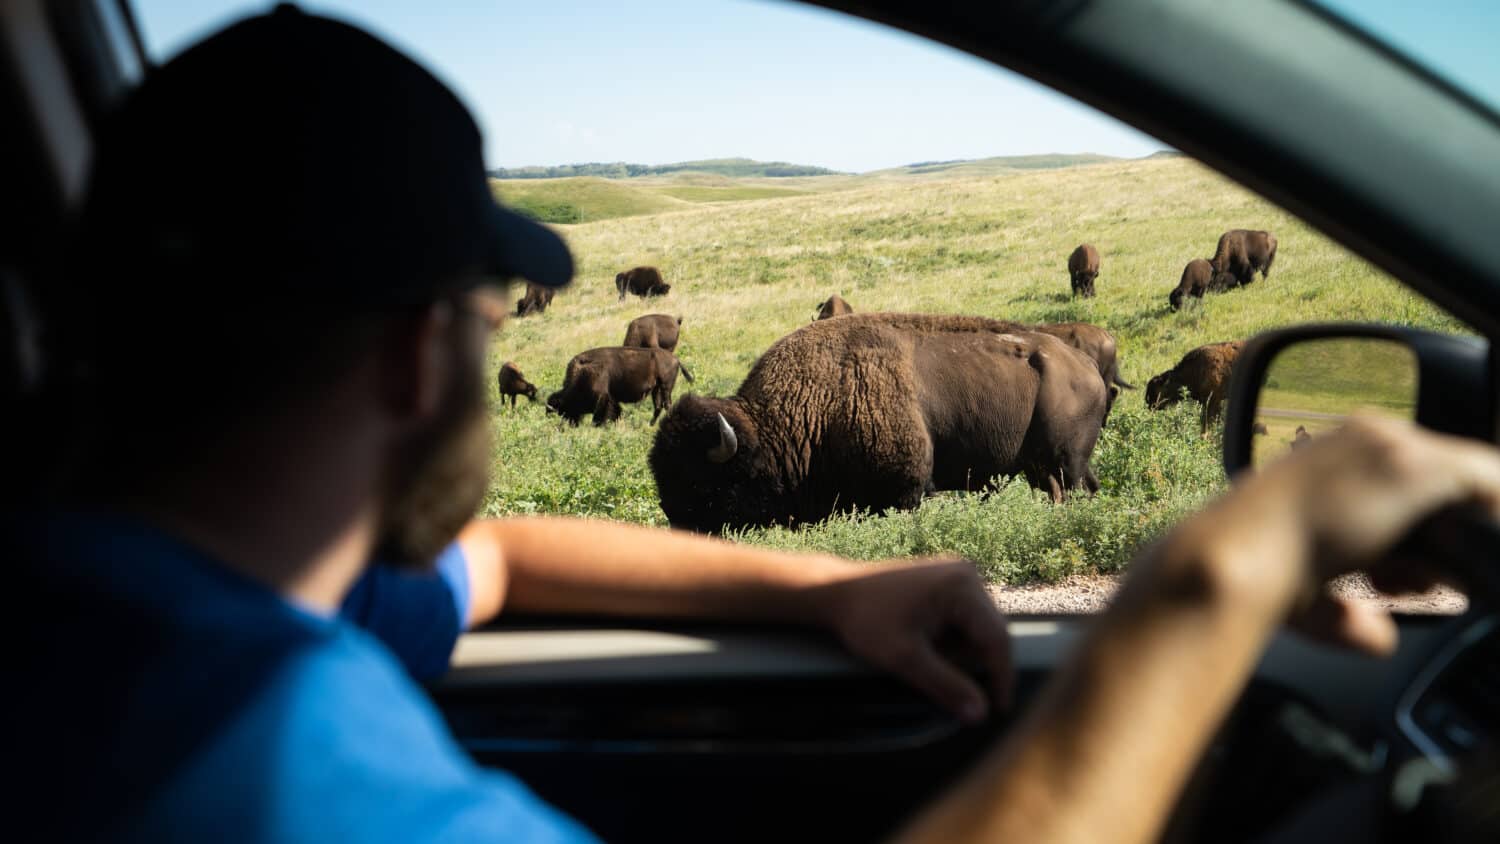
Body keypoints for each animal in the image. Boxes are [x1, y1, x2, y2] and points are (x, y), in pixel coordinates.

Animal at [547, 347, 693, 426]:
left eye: (564, 409)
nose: (570, 424)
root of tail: (676, 359)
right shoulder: (612, 399)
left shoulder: (603, 399)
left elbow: (601, 416)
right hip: (656, 389)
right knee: (658, 406)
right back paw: (651, 424)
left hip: (665, 387)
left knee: (667, 405)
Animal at [649, 313, 1109, 533]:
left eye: (701, 483)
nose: (678, 526)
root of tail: (1085, 365)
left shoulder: (904, 490)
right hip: (1044, 467)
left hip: (1065, 462)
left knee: (1074, 490)